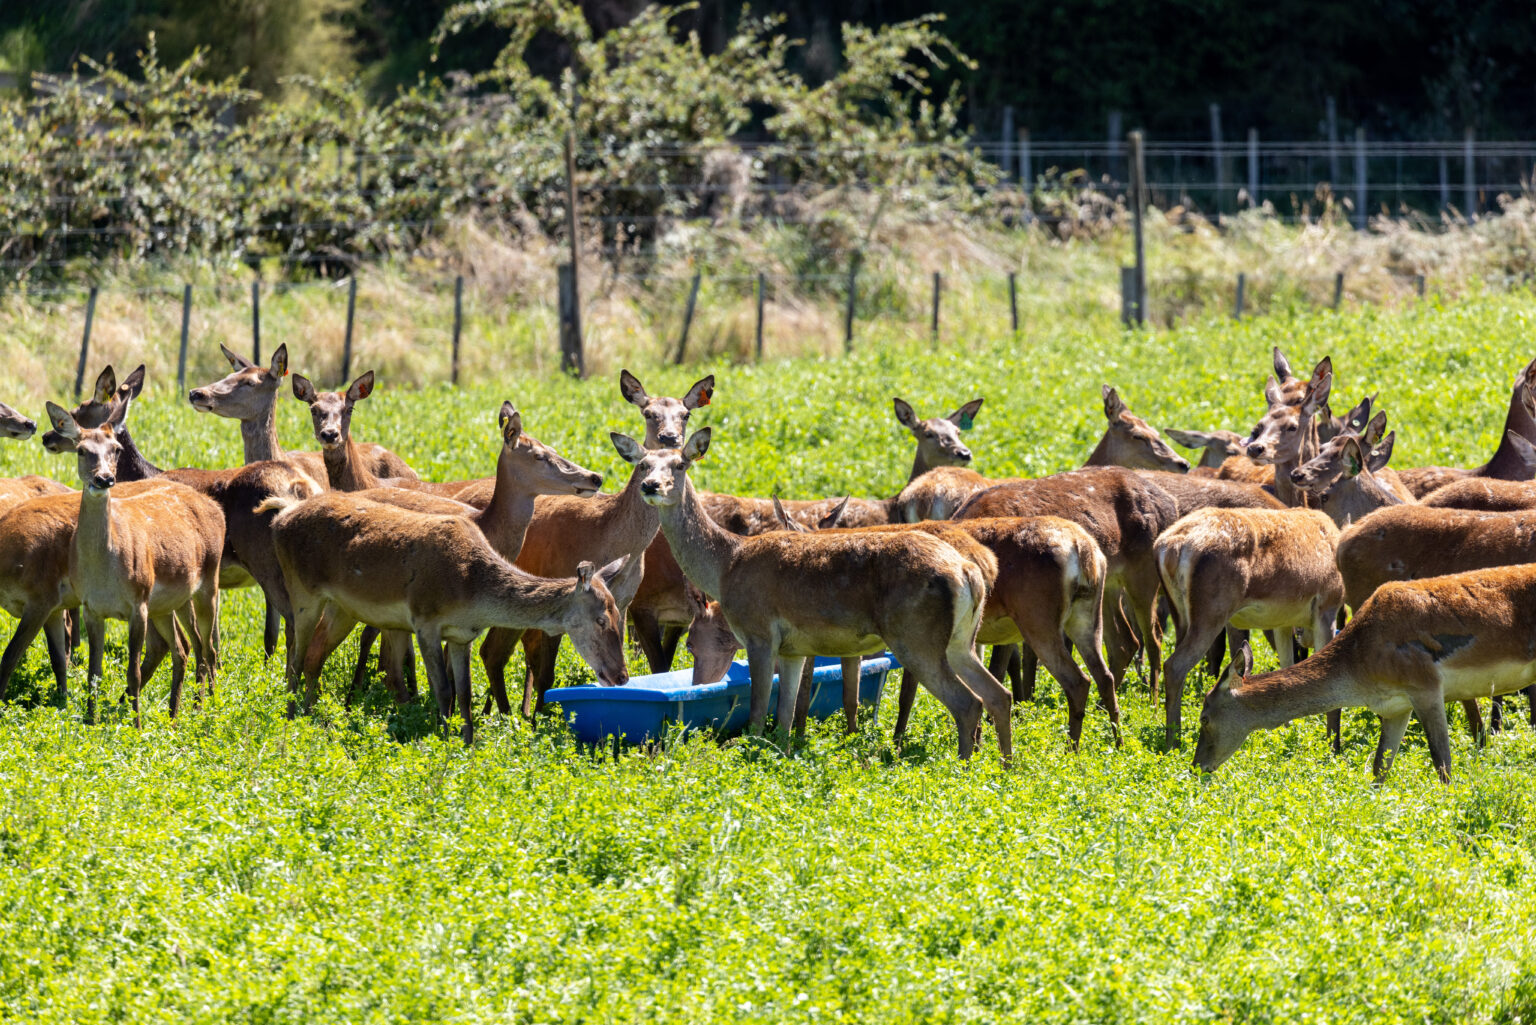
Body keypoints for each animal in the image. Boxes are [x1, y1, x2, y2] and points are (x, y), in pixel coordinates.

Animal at [46, 404, 224, 723]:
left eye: (115, 449)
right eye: (81, 450)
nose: (104, 479)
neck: (105, 571)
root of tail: (216, 508)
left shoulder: (138, 603)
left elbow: (133, 673)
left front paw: (137, 725)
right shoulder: (91, 607)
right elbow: (94, 673)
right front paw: (90, 721)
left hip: (209, 583)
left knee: (209, 648)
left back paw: (207, 710)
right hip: (170, 602)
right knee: (186, 647)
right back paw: (175, 715)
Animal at [263, 489, 629, 743]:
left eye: (618, 617)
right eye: (601, 620)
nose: (622, 675)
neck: (471, 593)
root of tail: (280, 518)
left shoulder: (461, 635)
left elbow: (464, 693)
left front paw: (469, 742)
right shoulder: (425, 621)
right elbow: (442, 690)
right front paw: (444, 739)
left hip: (342, 608)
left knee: (315, 655)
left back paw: (312, 714)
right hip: (302, 591)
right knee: (294, 658)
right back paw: (292, 719)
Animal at [631, 427, 1013, 760]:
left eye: (680, 465)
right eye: (643, 464)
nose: (650, 486)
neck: (727, 565)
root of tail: (969, 573)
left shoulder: (759, 633)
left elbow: (758, 713)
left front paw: (753, 754)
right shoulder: (793, 649)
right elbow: (785, 715)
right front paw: (781, 754)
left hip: (917, 637)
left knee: (967, 702)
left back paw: (962, 767)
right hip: (960, 640)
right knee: (998, 693)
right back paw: (1004, 765)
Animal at [1154, 507, 1345, 749]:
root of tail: (1169, 548)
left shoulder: (1283, 621)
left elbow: (1287, 666)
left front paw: (1287, 730)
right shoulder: (1326, 606)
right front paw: (1332, 744)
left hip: (1179, 614)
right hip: (1211, 612)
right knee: (1174, 665)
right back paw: (1174, 742)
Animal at [1194, 563, 1536, 783]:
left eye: (1204, 718)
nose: (1197, 767)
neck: (1359, 663)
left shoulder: (1426, 688)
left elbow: (1443, 765)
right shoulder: (1396, 707)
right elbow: (1379, 768)